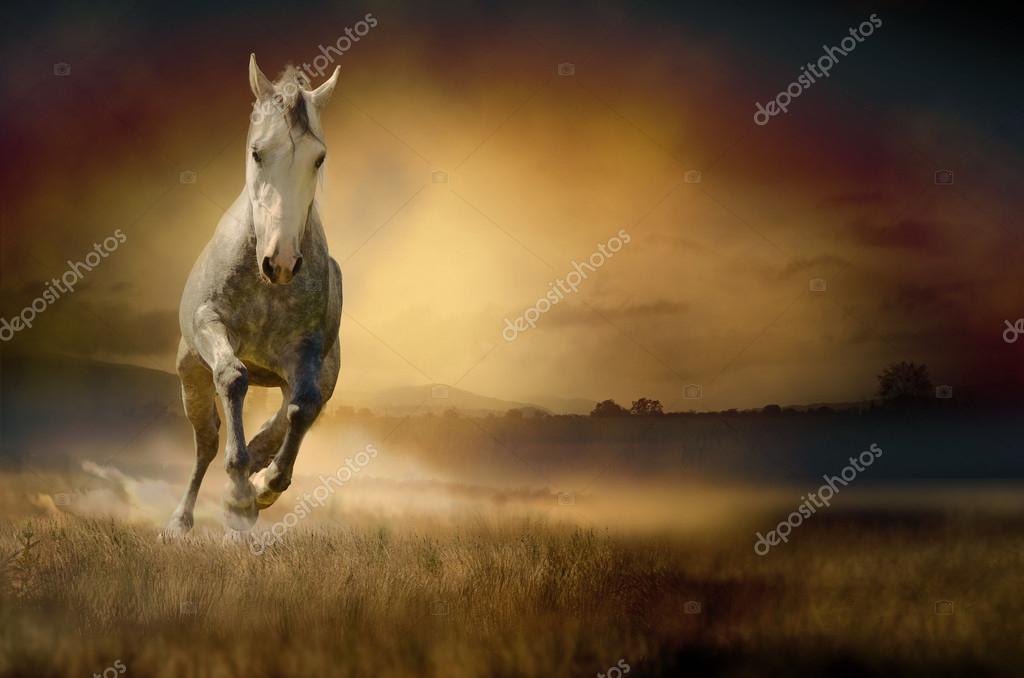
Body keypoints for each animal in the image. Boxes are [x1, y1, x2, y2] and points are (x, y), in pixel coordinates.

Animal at [167, 55, 343, 535]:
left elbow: (303, 406)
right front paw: (239, 495)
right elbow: (233, 378)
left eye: (319, 158)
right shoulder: (212, 326)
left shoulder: (307, 352)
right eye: (257, 152)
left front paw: (264, 486)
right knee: (206, 443)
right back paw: (181, 521)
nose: (279, 262)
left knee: (289, 416)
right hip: (191, 376)